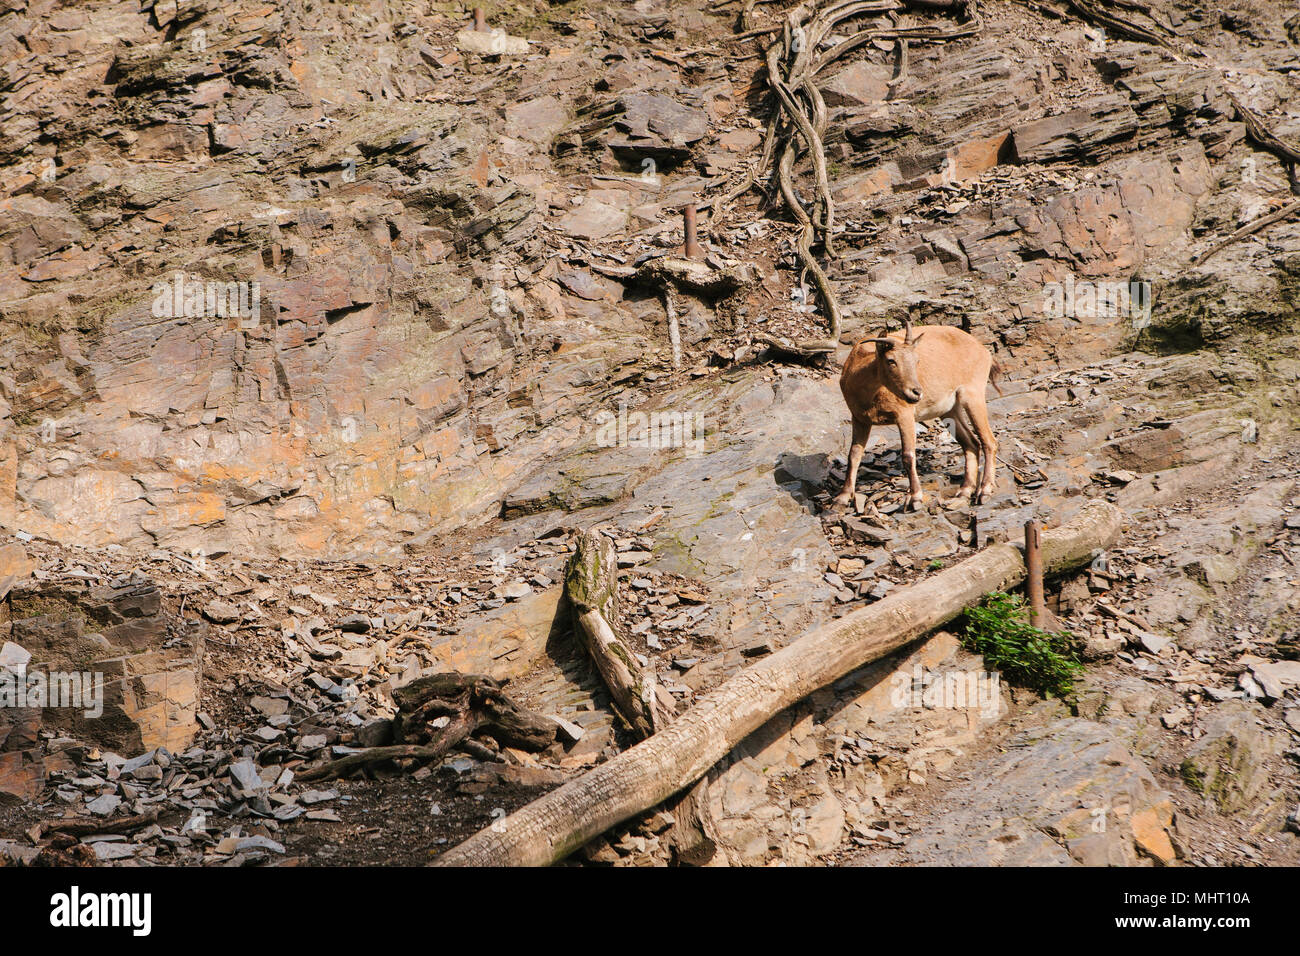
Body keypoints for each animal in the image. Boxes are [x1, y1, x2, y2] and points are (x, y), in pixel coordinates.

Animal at [833, 317, 999, 511]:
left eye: (917, 359)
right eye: (891, 360)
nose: (916, 393)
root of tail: (983, 350)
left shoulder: (904, 414)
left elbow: (908, 455)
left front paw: (915, 498)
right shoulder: (860, 419)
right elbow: (853, 455)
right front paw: (842, 497)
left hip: (972, 395)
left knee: (989, 441)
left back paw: (985, 490)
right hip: (949, 409)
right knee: (971, 443)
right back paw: (965, 491)